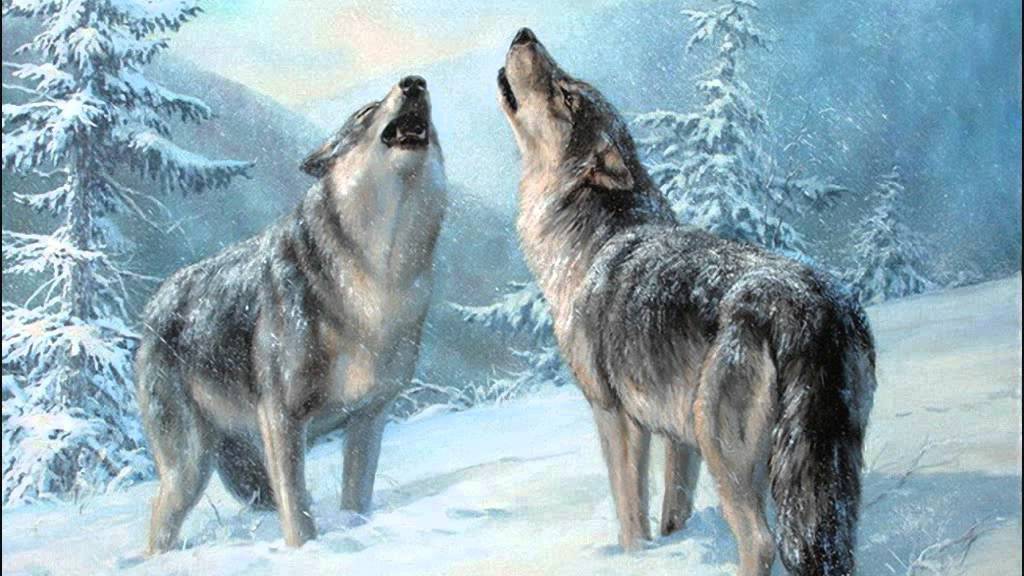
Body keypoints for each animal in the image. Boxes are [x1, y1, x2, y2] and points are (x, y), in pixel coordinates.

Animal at [135, 75, 447, 554]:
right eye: (366, 111)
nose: (414, 82)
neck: (379, 277)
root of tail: (156, 302)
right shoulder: (282, 418)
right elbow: (298, 513)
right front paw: (309, 554)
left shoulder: (369, 417)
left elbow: (356, 499)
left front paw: (356, 532)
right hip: (189, 467)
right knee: (160, 525)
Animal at [498, 28, 876, 576]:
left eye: (566, 94)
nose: (525, 34)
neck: (589, 243)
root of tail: (807, 309)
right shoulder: (677, 436)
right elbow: (673, 512)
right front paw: (674, 549)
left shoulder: (616, 417)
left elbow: (631, 517)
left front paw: (635, 559)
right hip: (823, 465)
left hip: (725, 449)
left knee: (761, 540)